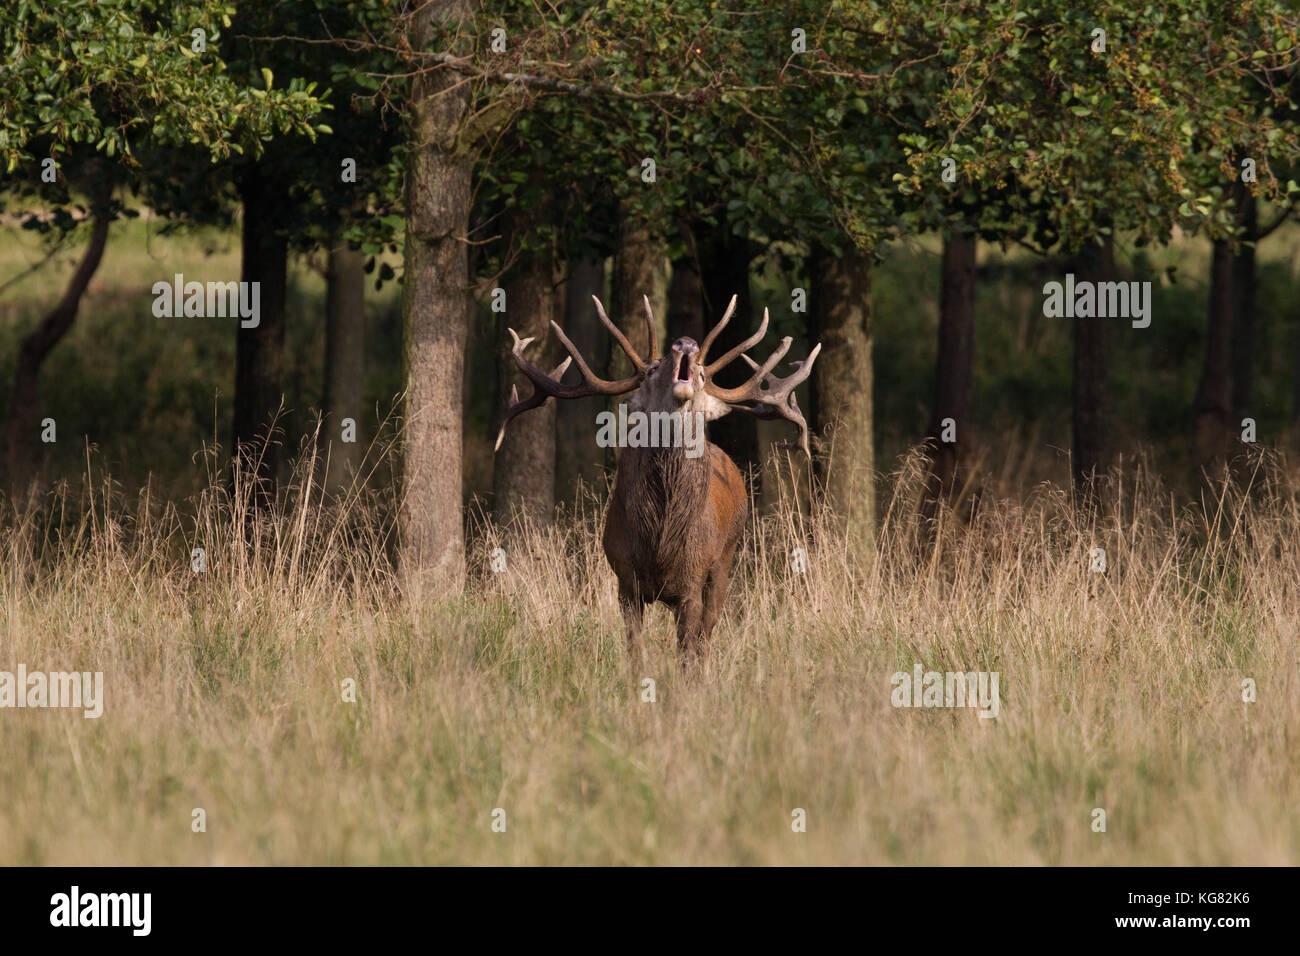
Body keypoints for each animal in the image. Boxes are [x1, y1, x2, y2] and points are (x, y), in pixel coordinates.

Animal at [495, 293, 820, 660]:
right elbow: (635, 650)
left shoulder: (692, 581)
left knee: (708, 632)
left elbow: (688, 653)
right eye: (652, 369)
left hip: (725, 558)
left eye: (703, 375)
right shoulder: (625, 579)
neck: (659, 543)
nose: (686, 343)